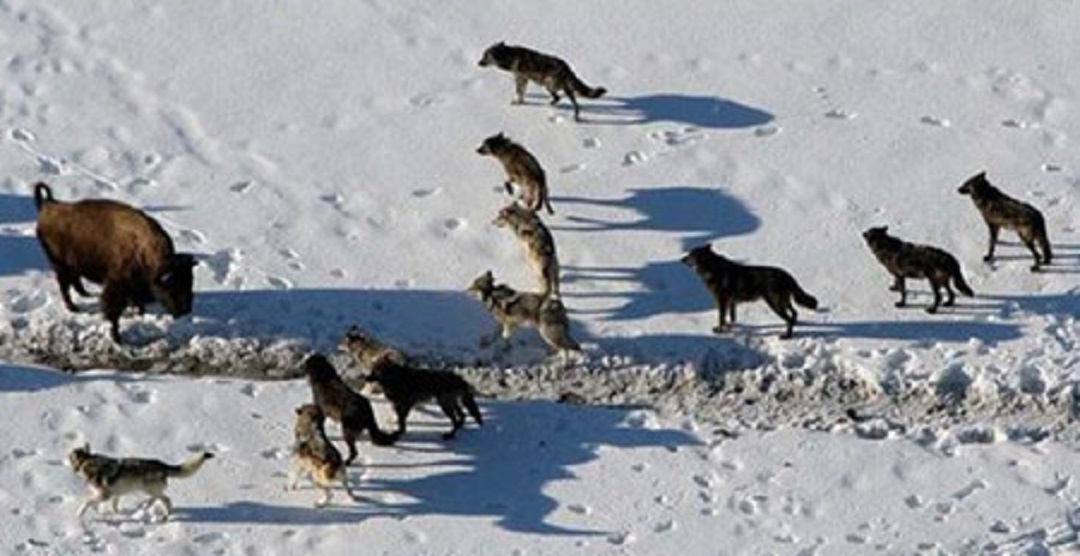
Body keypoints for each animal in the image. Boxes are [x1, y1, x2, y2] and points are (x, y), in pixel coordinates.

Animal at [69, 444, 213, 519]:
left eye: (70, 456)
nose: (65, 458)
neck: (87, 462)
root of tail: (163, 465)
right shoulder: (115, 494)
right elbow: (113, 505)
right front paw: (117, 514)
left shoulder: (105, 495)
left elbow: (87, 502)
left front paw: (79, 514)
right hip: (150, 489)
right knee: (161, 499)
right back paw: (149, 508)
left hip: (148, 488)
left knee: (165, 499)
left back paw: (157, 511)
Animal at [478, 41, 606, 121]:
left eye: (485, 56)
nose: (478, 63)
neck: (509, 56)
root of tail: (567, 68)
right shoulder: (524, 79)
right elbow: (522, 92)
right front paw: (521, 101)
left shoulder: (520, 78)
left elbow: (519, 92)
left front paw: (517, 102)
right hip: (564, 88)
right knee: (574, 103)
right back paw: (576, 117)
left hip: (549, 84)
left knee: (559, 98)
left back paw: (550, 105)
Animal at [681, 245, 818, 339]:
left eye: (691, 254)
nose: (681, 259)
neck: (712, 267)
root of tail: (787, 275)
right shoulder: (731, 302)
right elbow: (731, 317)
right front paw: (730, 327)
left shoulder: (722, 301)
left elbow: (721, 318)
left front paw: (720, 330)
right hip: (784, 301)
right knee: (794, 313)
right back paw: (795, 326)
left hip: (775, 303)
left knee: (789, 318)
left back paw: (787, 336)